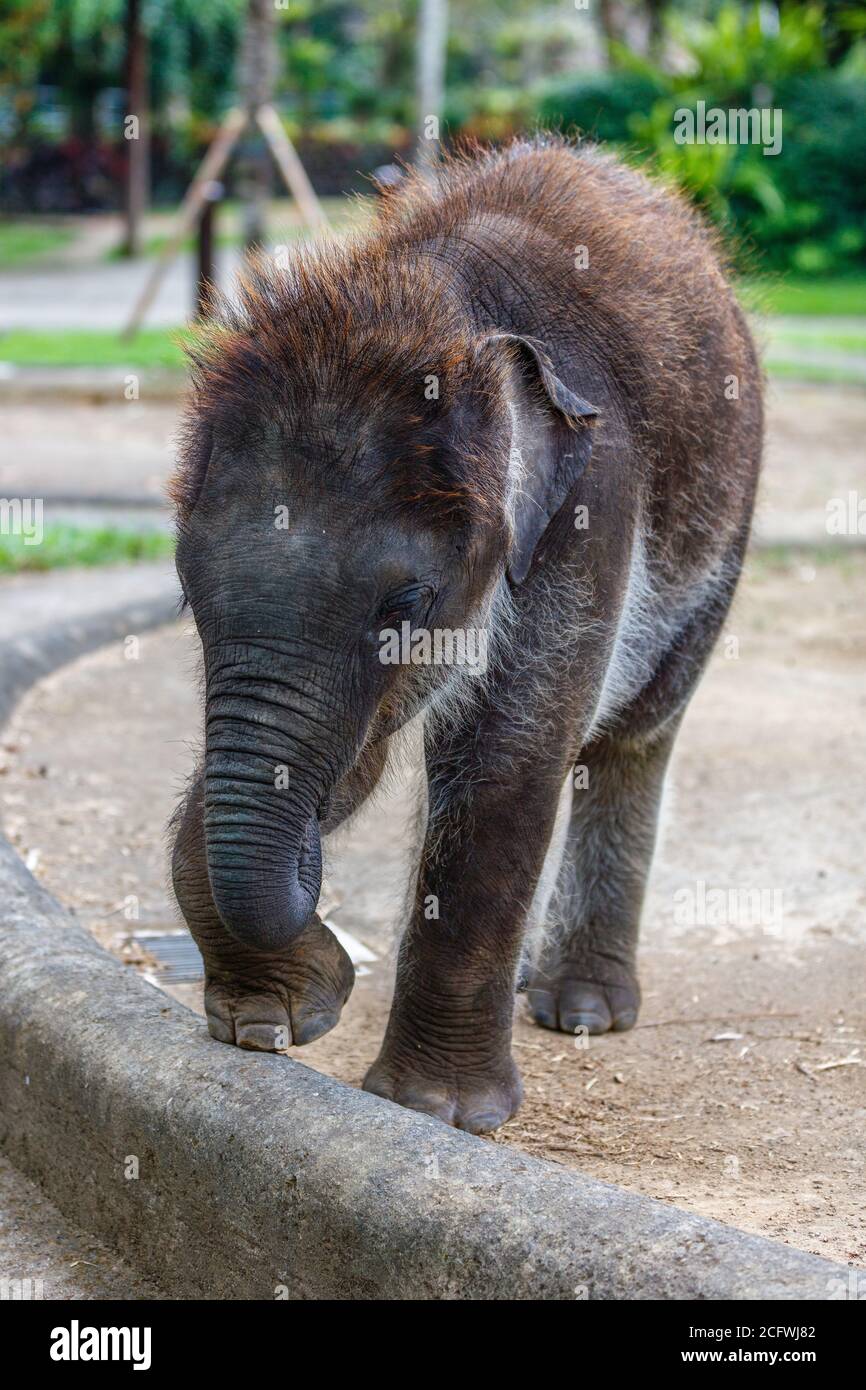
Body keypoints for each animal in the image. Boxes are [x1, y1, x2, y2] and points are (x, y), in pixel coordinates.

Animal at [169, 137, 762, 1133]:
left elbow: (504, 752)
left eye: (409, 601)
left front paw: (437, 1111)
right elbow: (357, 752)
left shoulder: (591, 503)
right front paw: (270, 1020)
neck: (432, 297)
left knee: (636, 736)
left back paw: (582, 1009)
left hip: (728, 532)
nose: (329, 952)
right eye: (183, 580)